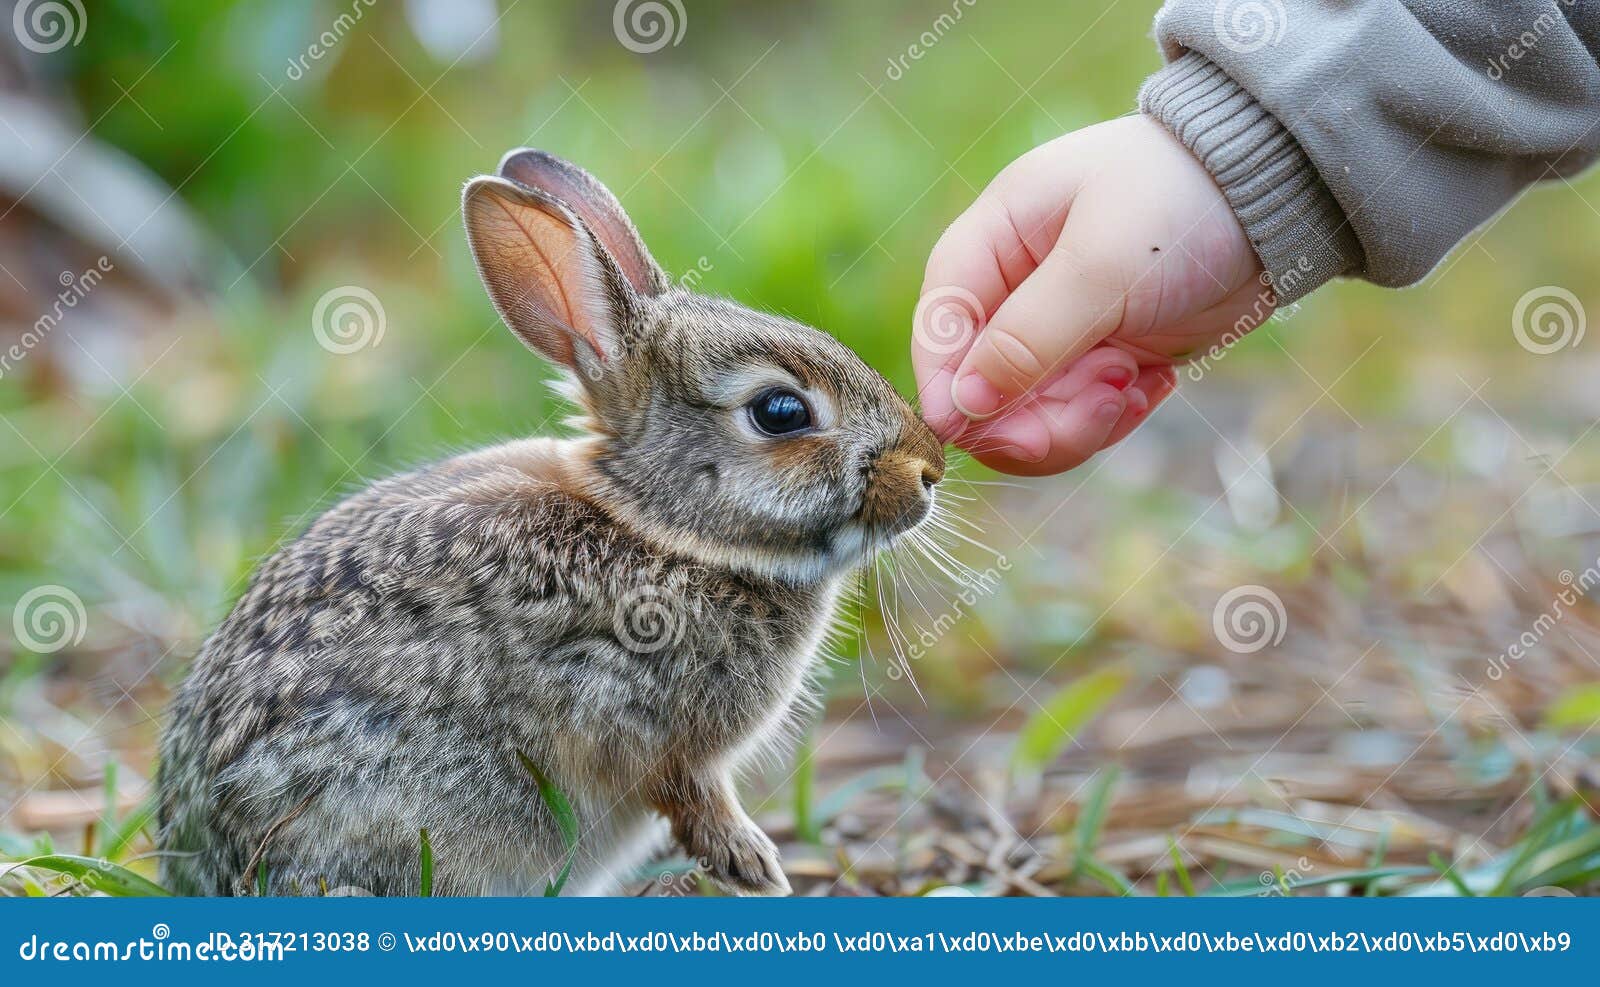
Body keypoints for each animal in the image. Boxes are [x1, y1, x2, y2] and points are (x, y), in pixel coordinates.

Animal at [157, 149, 945, 897]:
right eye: (781, 412)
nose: (928, 470)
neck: (662, 530)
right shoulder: (631, 713)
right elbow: (686, 790)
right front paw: (751, 861)